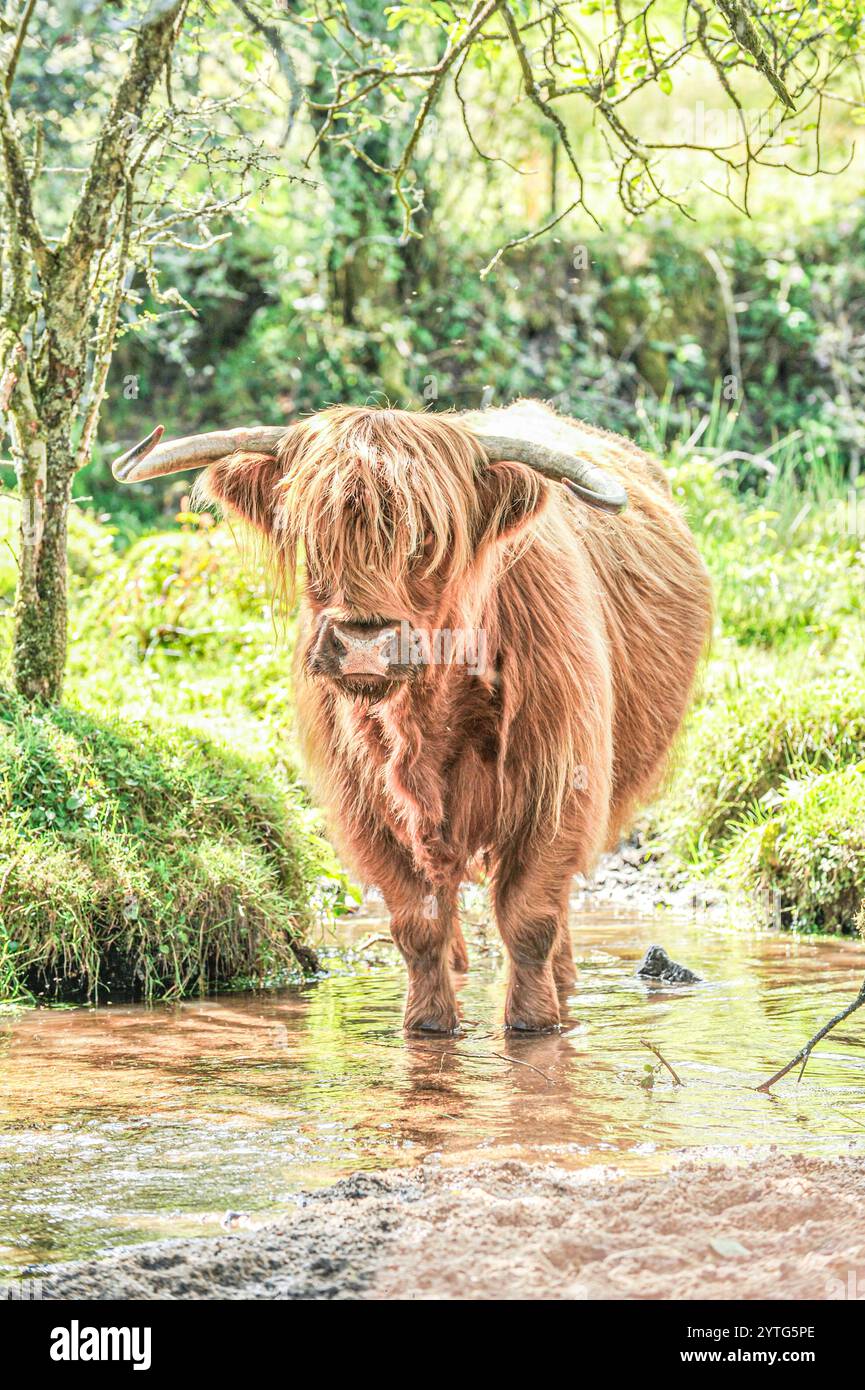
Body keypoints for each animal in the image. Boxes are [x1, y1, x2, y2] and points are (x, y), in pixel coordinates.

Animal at [112, 400, 712, 1034]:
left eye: (425, 537)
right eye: (311, 535)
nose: (362, 644)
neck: (428, 713)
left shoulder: (559, 787)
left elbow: (529, 917)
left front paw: (534, 1023)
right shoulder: (368, 807)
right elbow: (416, 923)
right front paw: (427, 1025)